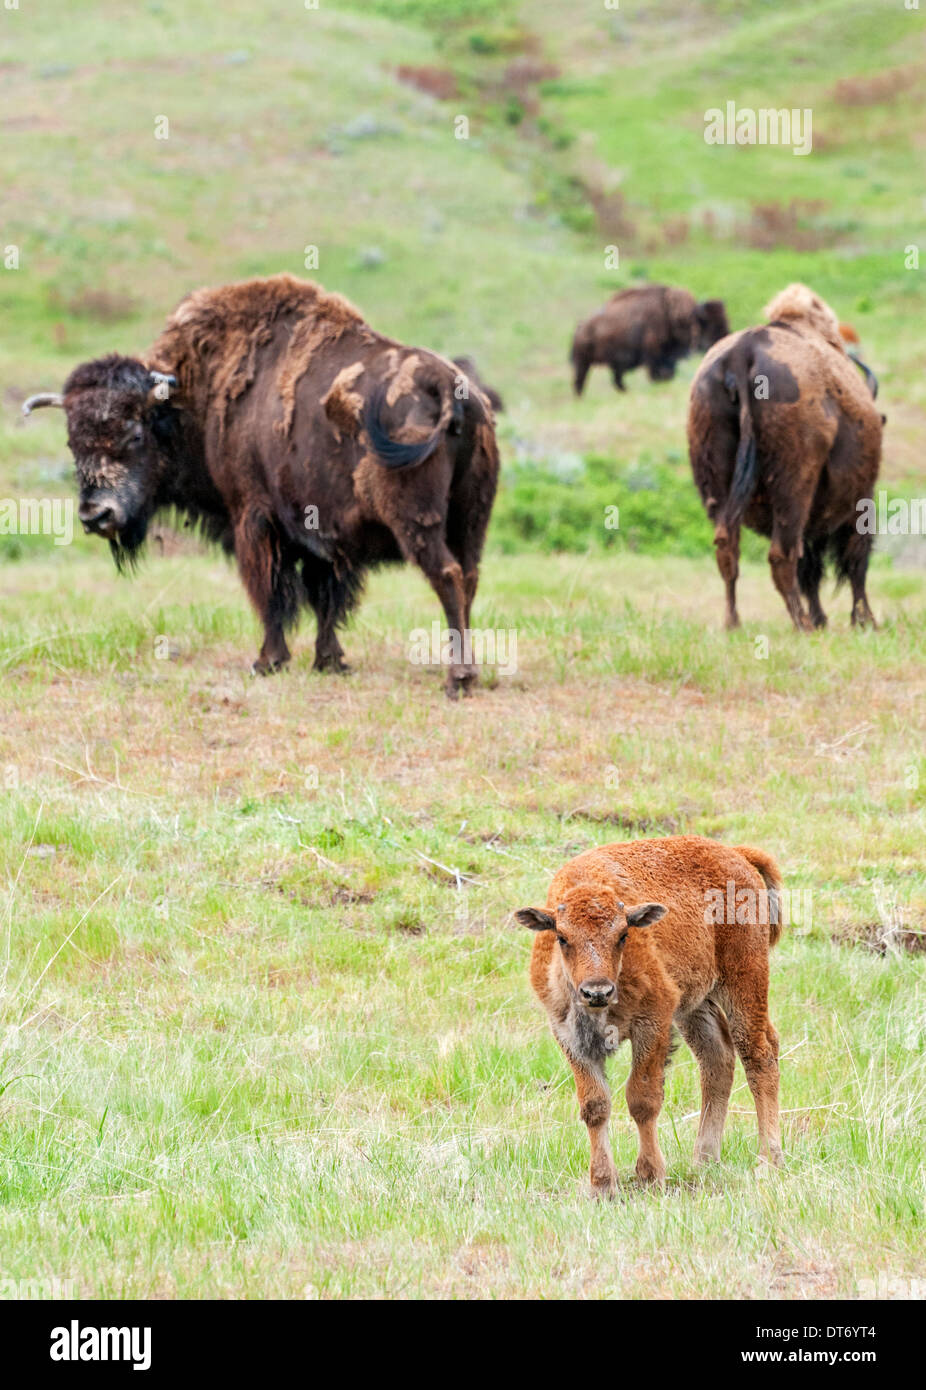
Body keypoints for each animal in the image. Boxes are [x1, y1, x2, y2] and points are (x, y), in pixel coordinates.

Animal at [23, 275, 500, 696]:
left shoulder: (254, 521)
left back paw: (458, 679)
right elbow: (325, 599)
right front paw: (328, 661)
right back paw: (467, 669)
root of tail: (446, 387)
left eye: (134, 434)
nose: (95, 515)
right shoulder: (321, 537)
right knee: (470, 576)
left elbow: (271, 594)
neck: (192, 398)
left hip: (417, 522)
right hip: (471, 520)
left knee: (447, 575)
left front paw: (267, 661)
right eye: (72, 442)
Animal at [571, 283, 729, 395]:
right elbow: (655, 373)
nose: (724, 341)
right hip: (583, 362)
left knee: (616, 380)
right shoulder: (654, 355)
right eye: (713, 324)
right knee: (580, 381)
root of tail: (580, 326)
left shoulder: (668, 358)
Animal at [687, 283, 883, 631]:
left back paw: (734, 623)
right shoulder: (862, 504)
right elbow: (855, 564)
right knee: (783, 555)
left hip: (716, 481)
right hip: (793, 487)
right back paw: (803, 625)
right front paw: (865, 622)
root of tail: (742, 354)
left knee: (728, 549)